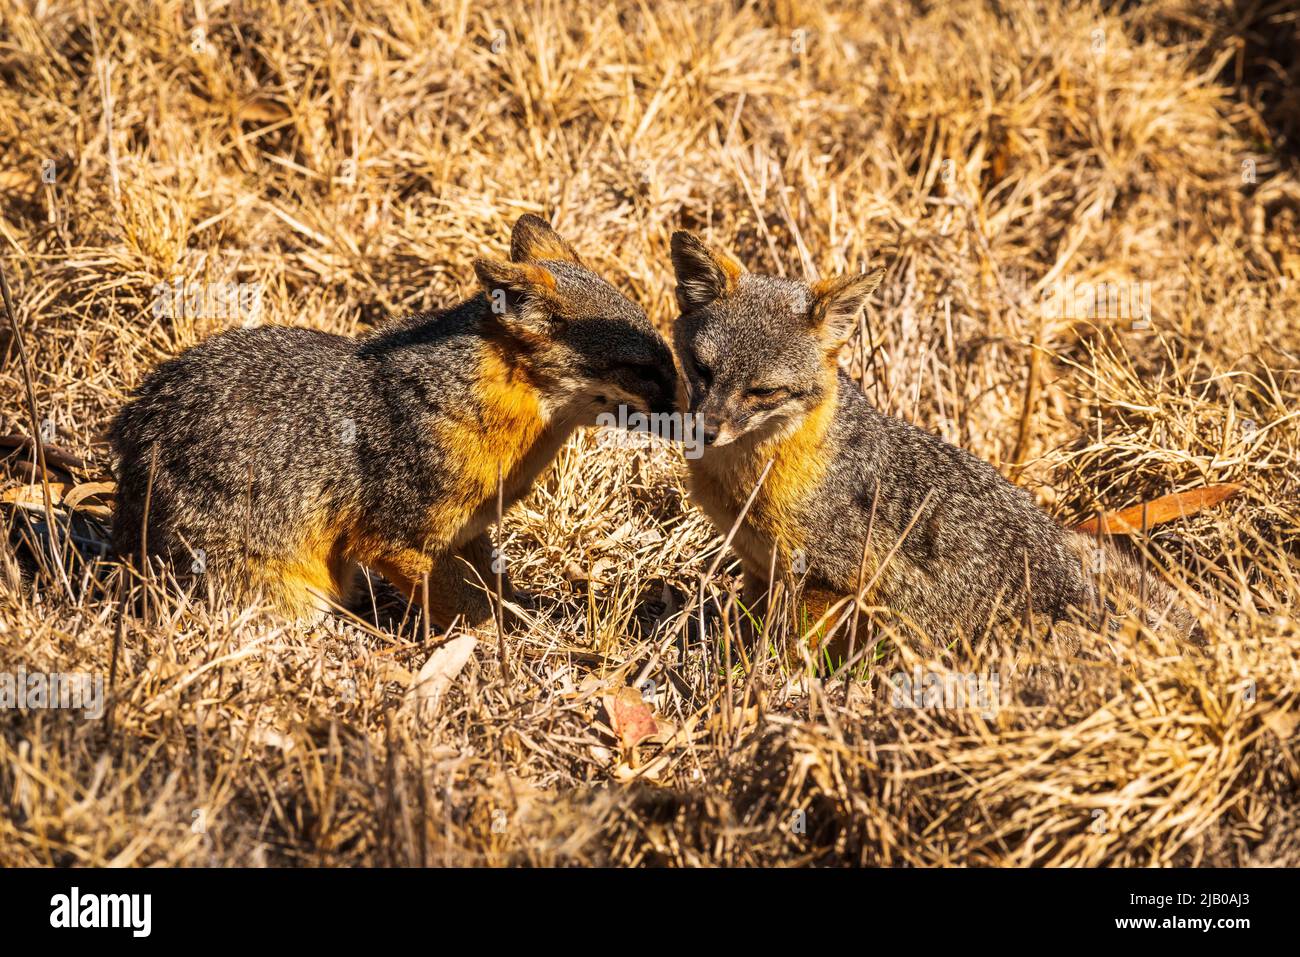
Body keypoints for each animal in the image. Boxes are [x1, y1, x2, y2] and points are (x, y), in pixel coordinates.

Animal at [109, 215, 676, 626]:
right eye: (646, 368)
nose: (691, 416)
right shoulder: (395, 541)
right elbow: (473, 612)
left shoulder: (466, 532)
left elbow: (494, 586)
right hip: (288, 593)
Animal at [668, 230, 1196, 649]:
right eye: (701, 369)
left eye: (763, 391)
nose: (704, 430)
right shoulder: (760, 569)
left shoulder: (828, 579)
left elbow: (791, 653)